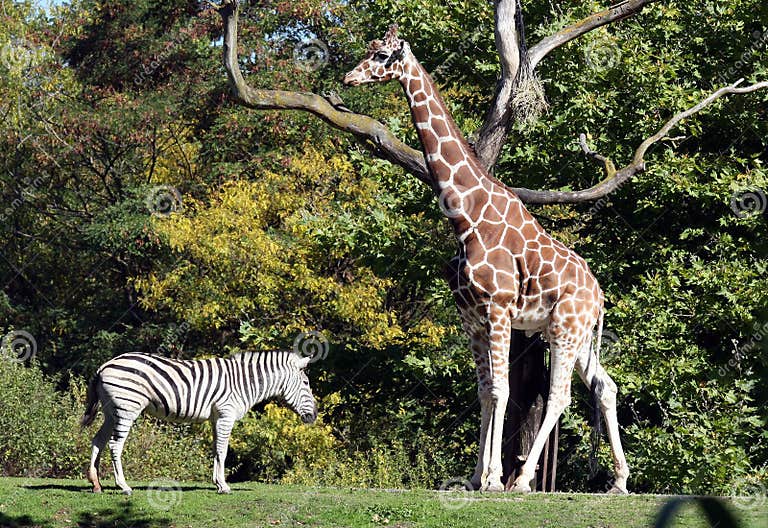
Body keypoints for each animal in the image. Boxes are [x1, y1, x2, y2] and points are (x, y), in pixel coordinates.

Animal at [80, 350, 317, 495]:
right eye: (306, 383)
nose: (314, 415)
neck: (243, 383)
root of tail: (105, 365)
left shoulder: (216, 417)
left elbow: (215, 450)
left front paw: (217, 483)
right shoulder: (226, 414)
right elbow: (222, 451)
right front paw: (224, 486)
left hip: (112, 411)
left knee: (98, 441)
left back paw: (96, 484)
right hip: (127, 408)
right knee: (115, 445)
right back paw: (124, 486)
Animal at [344, 25, 629, 493]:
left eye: (382, 55)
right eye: (369, 50)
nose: (349, 78)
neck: (467, 218)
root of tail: (600, 295)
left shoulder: (498, 309)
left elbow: (501, 389)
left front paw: (494, 478)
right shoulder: (472, 318)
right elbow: (482, 391)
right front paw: (477, 474)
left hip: (565, 329)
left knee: (560, 396)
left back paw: (524, 479)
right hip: (577, 334)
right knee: (605, 386)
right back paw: (620, 481)